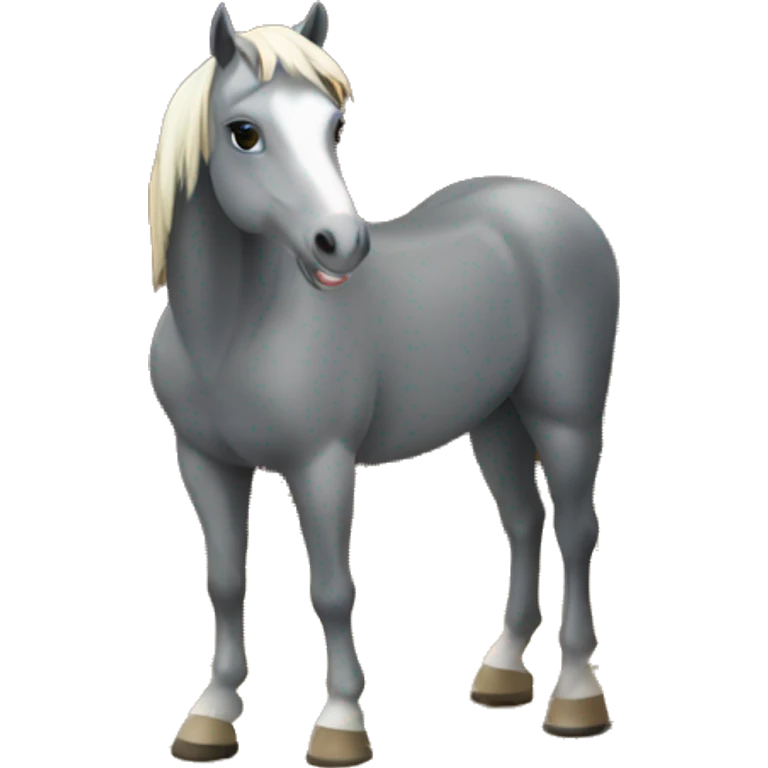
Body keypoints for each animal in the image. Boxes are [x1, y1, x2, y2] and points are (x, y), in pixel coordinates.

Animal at [148, 3, 619, 762]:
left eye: (333, 126)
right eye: (244, 132)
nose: (341, 244)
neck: (233, 330)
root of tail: (566, 214)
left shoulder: (321, 464)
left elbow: (334, 589)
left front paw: (340, 724)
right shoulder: (206, 462)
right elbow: (223, 584)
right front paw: (210, 717)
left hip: (565, 416)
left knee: (575, 531)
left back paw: (576, 697)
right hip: (497, 418)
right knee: (524, 522)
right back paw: (502, 673)